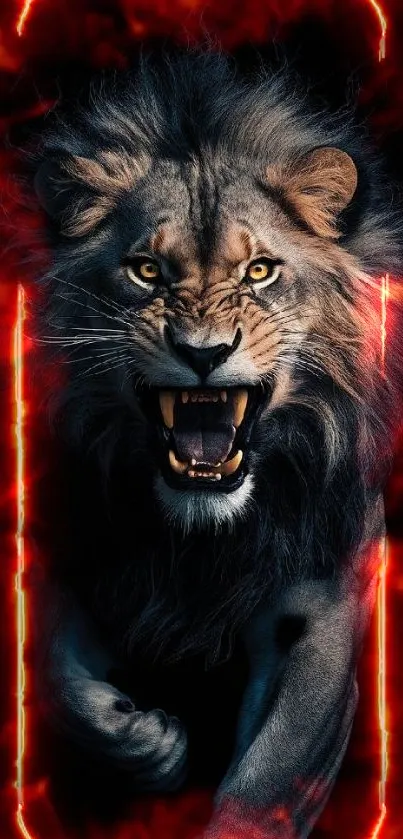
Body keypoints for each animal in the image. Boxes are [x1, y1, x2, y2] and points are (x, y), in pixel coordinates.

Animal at [30, 52, 402, 837]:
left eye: (258, 271)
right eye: (146, 270)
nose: (202, 353)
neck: (200, 540)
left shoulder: (316, 610)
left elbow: (265, 786)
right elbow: (53, 671)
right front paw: (146, 740)